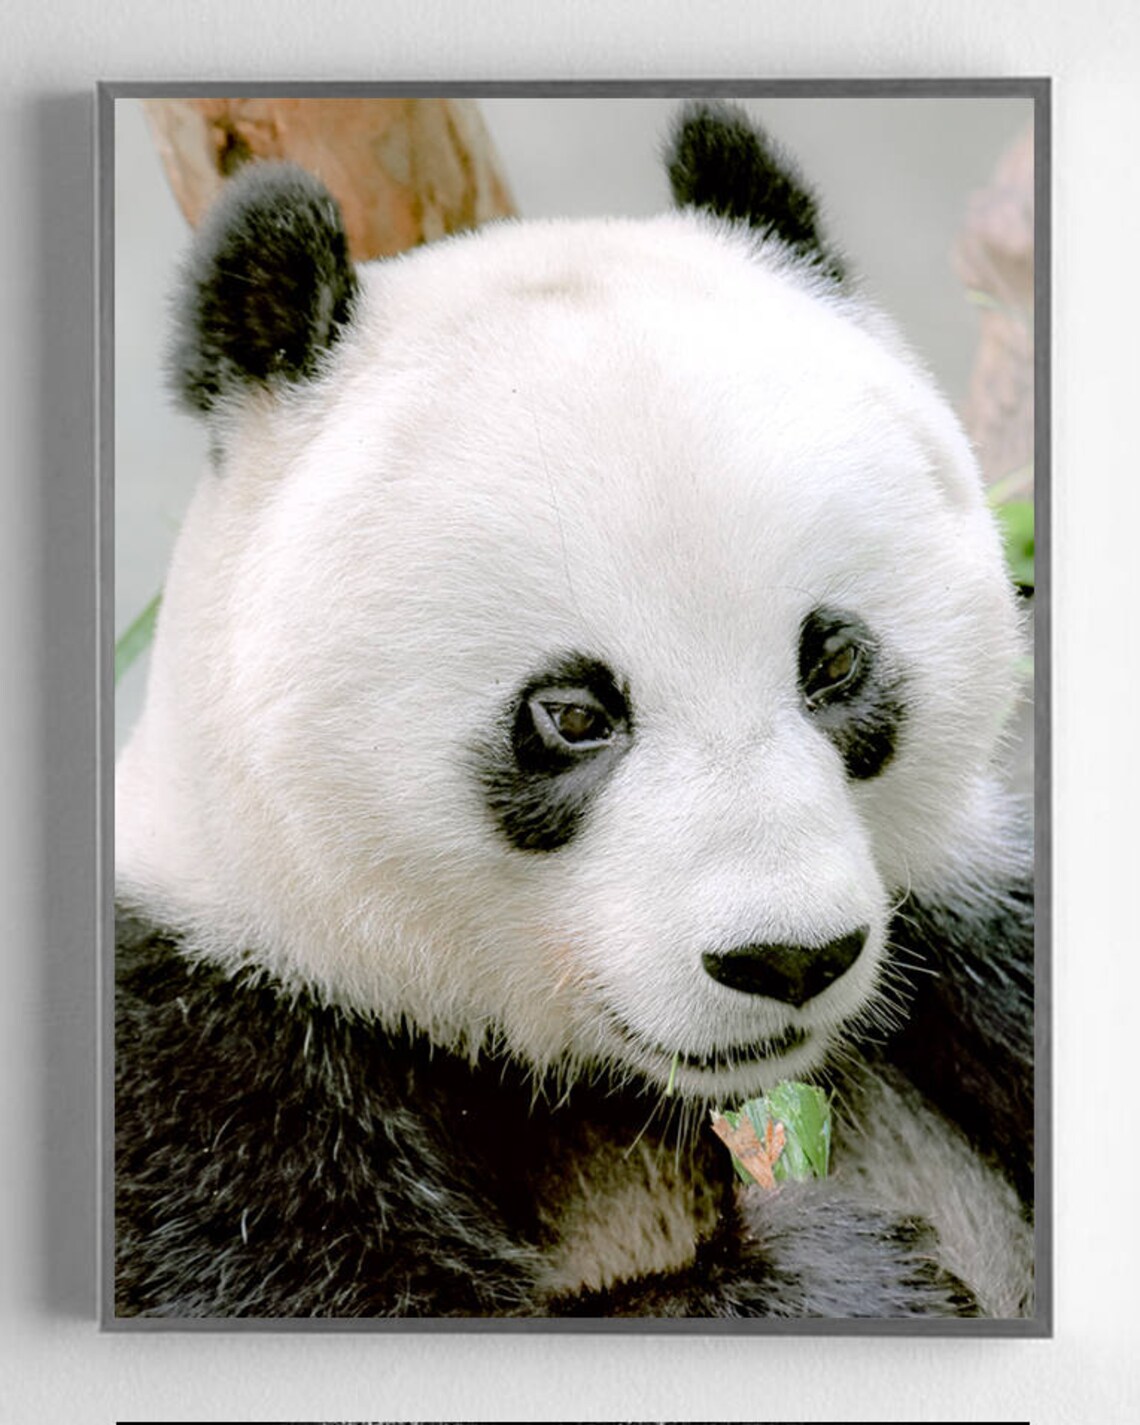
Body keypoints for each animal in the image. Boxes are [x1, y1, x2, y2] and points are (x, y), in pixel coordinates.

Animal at [114, 101, 1035, 1320]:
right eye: (573, 715)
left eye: (834, 660)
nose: (788, 960)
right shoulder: (200, 1048)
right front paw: (850, 1277)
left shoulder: (972, 920)